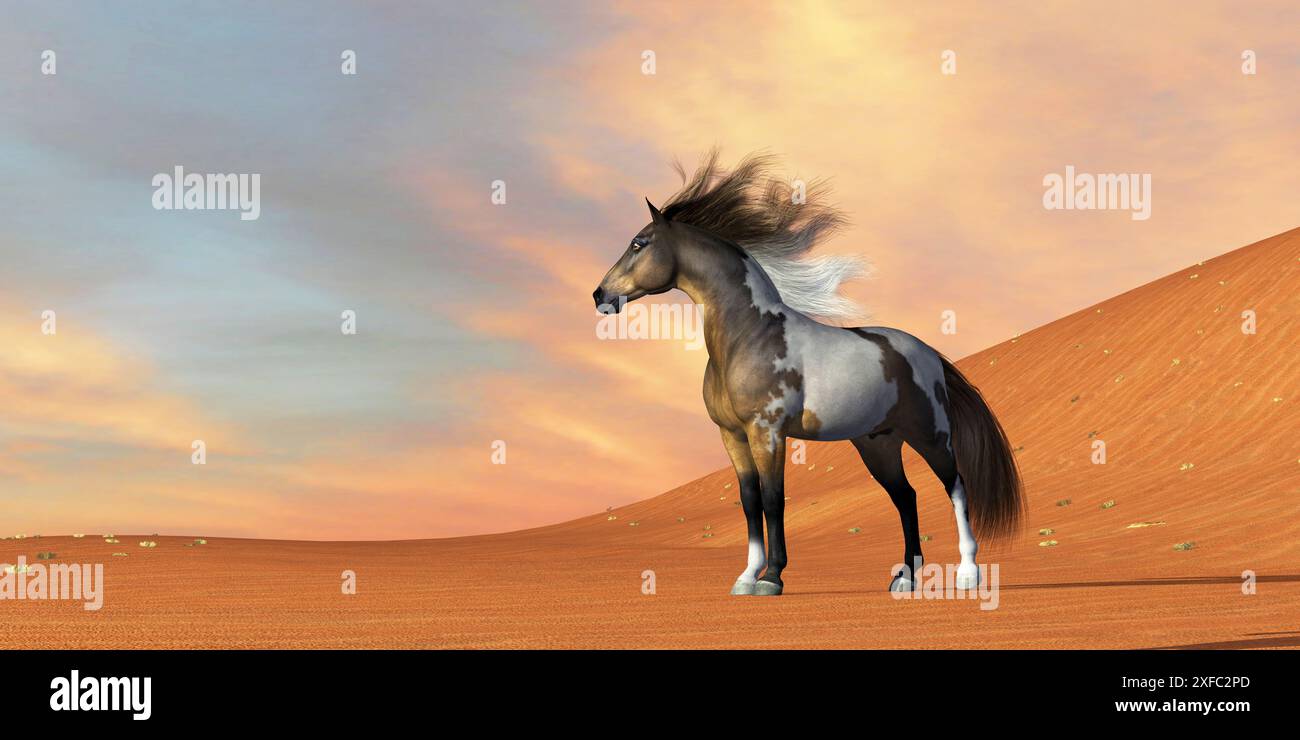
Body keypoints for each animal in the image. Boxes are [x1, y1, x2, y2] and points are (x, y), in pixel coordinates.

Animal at [593, 152, 1024, 596]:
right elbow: (749, 502)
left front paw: (771, 578)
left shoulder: (767, 432)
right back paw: (905, 577)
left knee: (955, 486)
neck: (750, 334)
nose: (600, 296)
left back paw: (968, 573)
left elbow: (772, 499)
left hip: (930, 434)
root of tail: (930, 355)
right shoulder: (732, 435)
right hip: (879, 444)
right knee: (907, 497)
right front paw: (745, 578)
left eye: (638, 243)